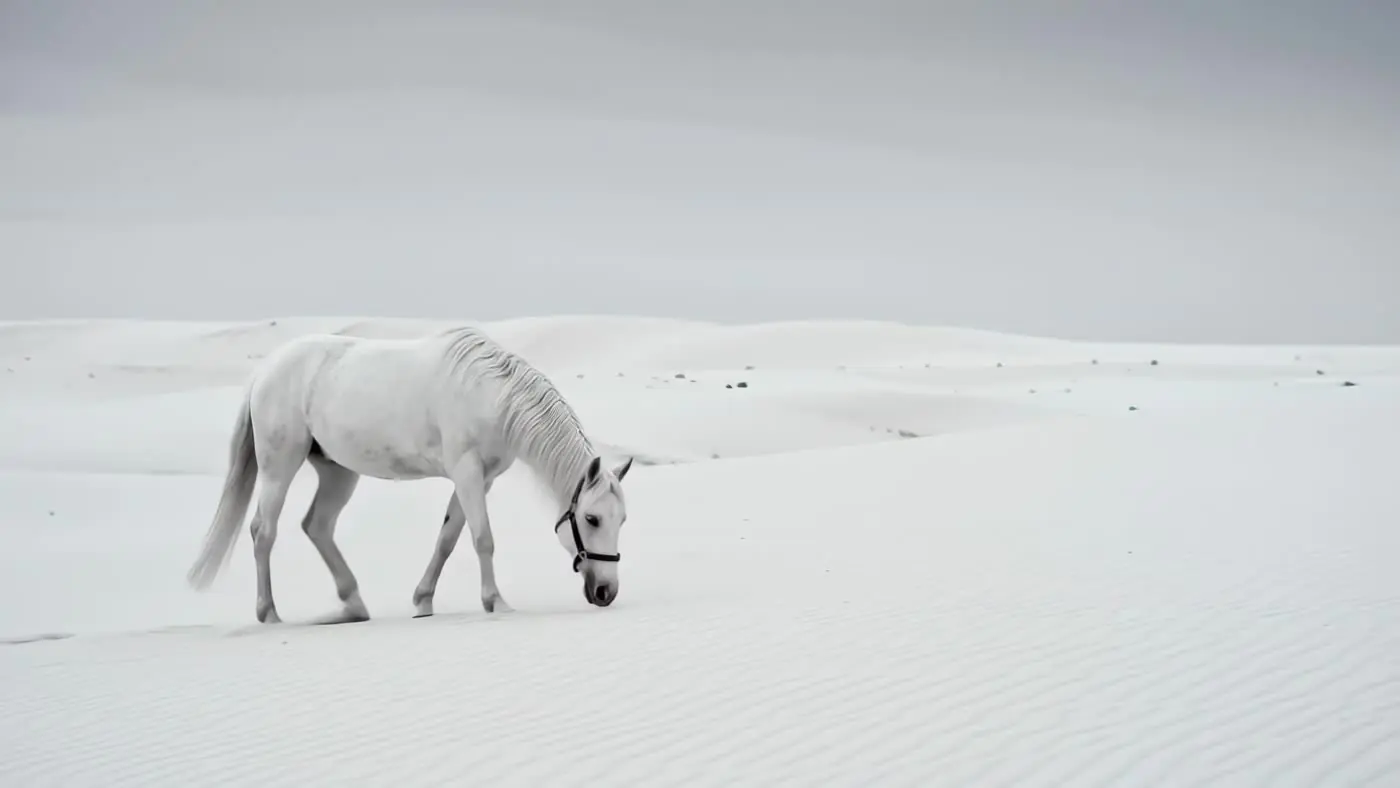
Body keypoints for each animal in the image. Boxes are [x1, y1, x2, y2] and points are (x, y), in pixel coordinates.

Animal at [185, 324, 635, 624]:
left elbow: (448, 539)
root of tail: (265, 371)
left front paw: (423, 601)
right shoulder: (467, 472)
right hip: (280, 466)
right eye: (592, 518)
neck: (491, 394)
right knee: (264, 530)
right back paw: (270, 613)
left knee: (317, 526)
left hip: (337, 470)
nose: (606, 591)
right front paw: (496, 601)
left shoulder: (480, 478)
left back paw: (353, 604)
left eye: (622, 520)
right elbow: (482, 538)